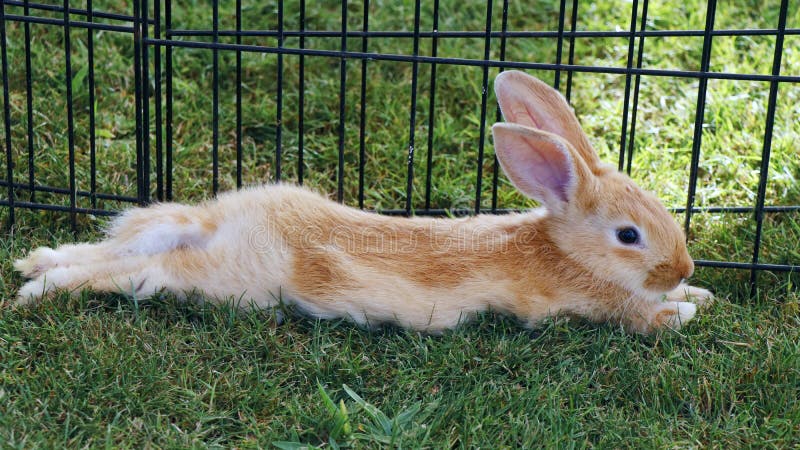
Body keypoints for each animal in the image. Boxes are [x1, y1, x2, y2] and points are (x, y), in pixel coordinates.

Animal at [13, 70, 712, 334]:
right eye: (628, 236)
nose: (682, 267)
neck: (563, 248)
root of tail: (229, 227)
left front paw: (699, 295)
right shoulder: (579, 305)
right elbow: (638, 315)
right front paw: (682, 312)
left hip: (190, 233)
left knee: (131, 243)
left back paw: (36, 262)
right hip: (226, 278)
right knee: (143, 273)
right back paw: (39, 291)